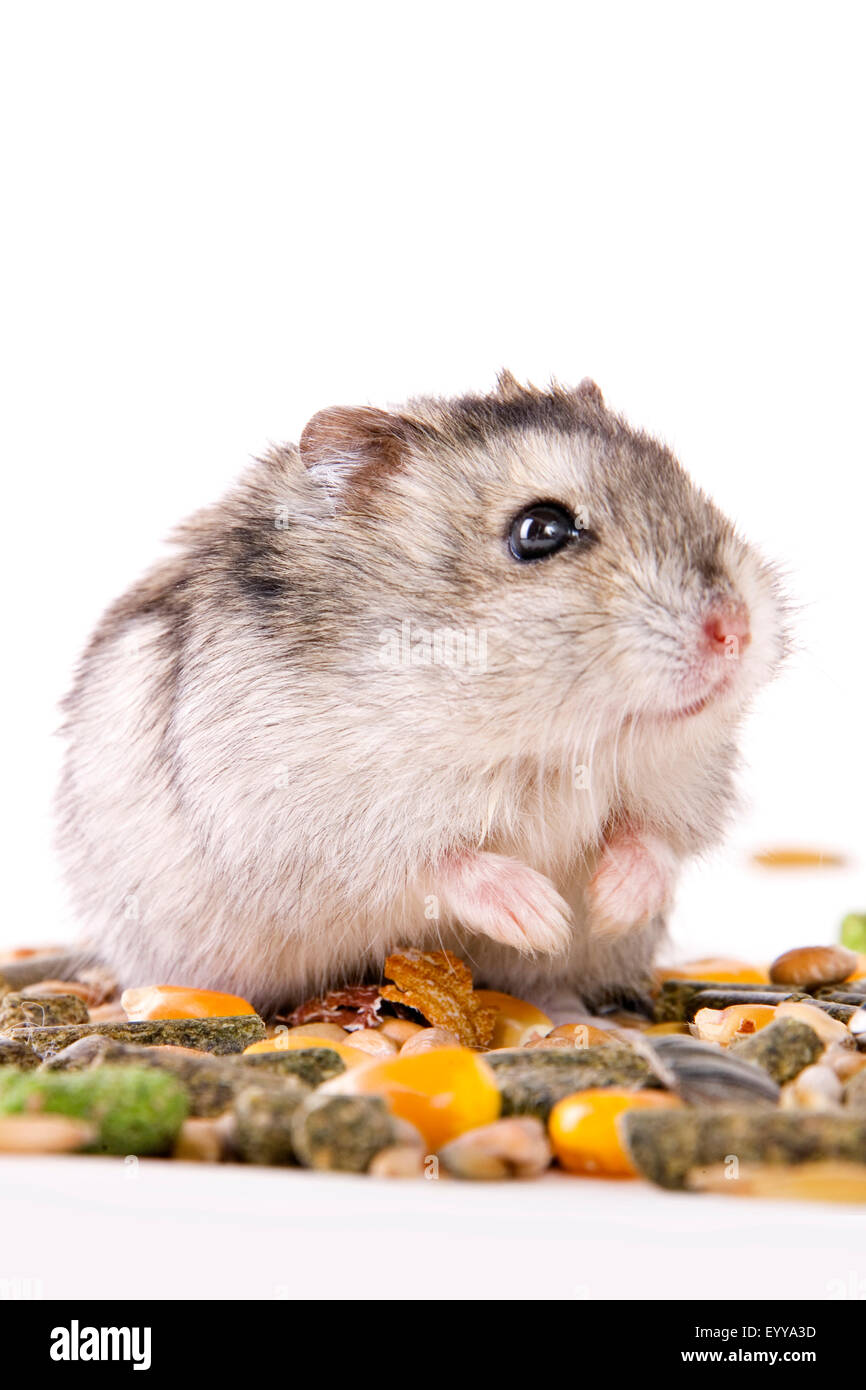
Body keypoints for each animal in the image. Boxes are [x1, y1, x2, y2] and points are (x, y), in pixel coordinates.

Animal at [56, 373, 787, 1016]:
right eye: (541, 529)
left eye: (683, 480)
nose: (737, 634)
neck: (537, 740)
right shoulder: (323, 829)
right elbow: (440, 864)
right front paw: (541, 914)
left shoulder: (682, 781)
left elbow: (653, 836)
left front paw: (612, 904)